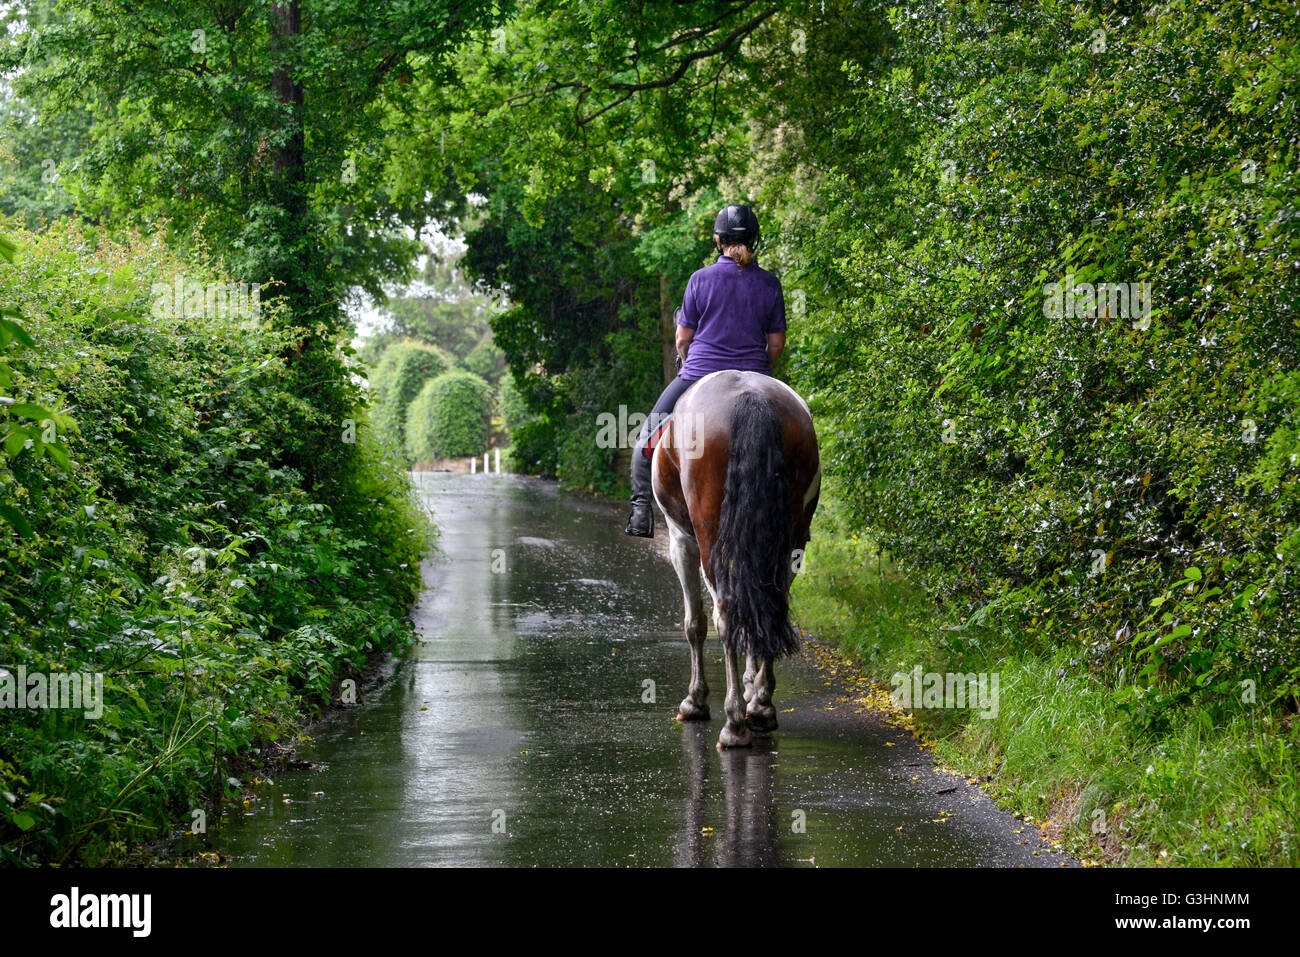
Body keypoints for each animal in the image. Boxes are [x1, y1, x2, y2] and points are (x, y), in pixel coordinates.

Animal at [651, 370, 820, 748]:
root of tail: (750, 396)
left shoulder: (680, 542)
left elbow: (695, 623)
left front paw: (695, 701)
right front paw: (751, 688)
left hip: (710, 540)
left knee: (725, 613)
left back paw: (734, 723)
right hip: (788, 538)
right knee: (772, 601)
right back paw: (762, 706)